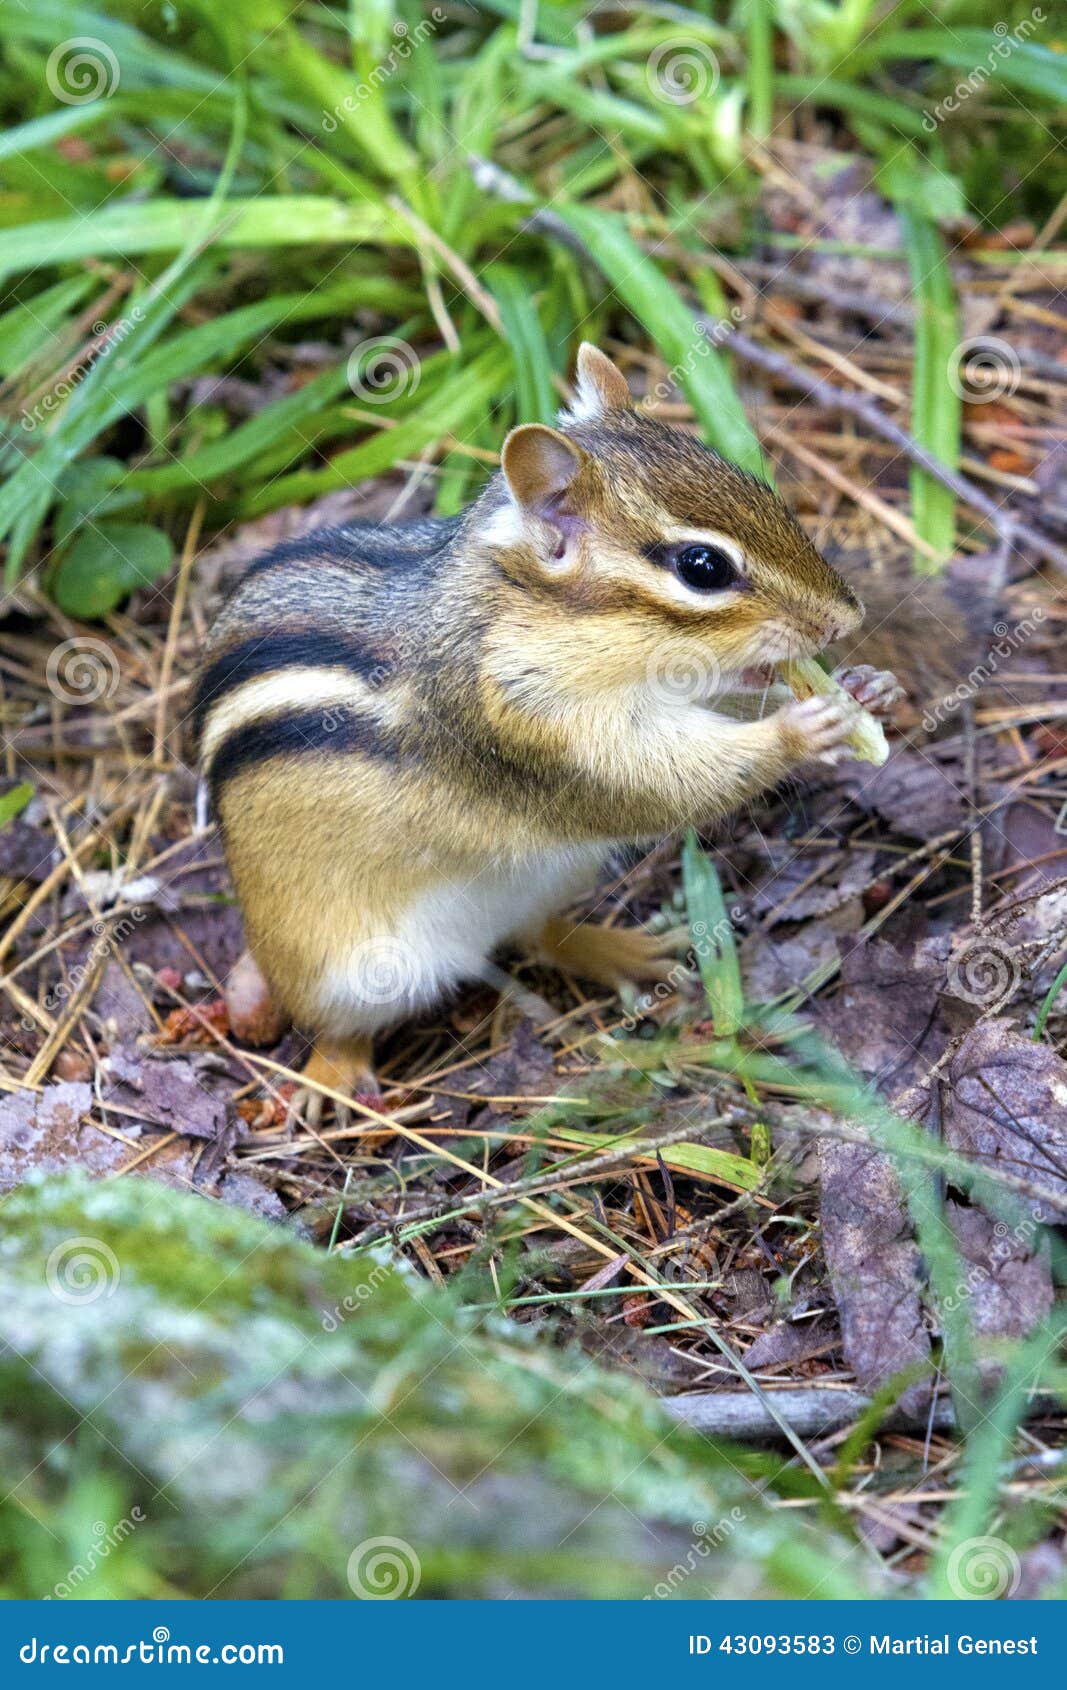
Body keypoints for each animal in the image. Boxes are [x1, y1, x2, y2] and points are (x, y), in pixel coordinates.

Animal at [194, 343, 904, 1116]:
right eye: (703, 566)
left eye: (761, 487)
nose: (847, 617)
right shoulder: (521, 726)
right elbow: (664, 785)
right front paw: (801, 730)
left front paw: (868, 687)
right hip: (345, 966)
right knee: (336, 1023)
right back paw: (332, 1077)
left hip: (554, 874)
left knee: (540, 935)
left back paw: (624, 951)